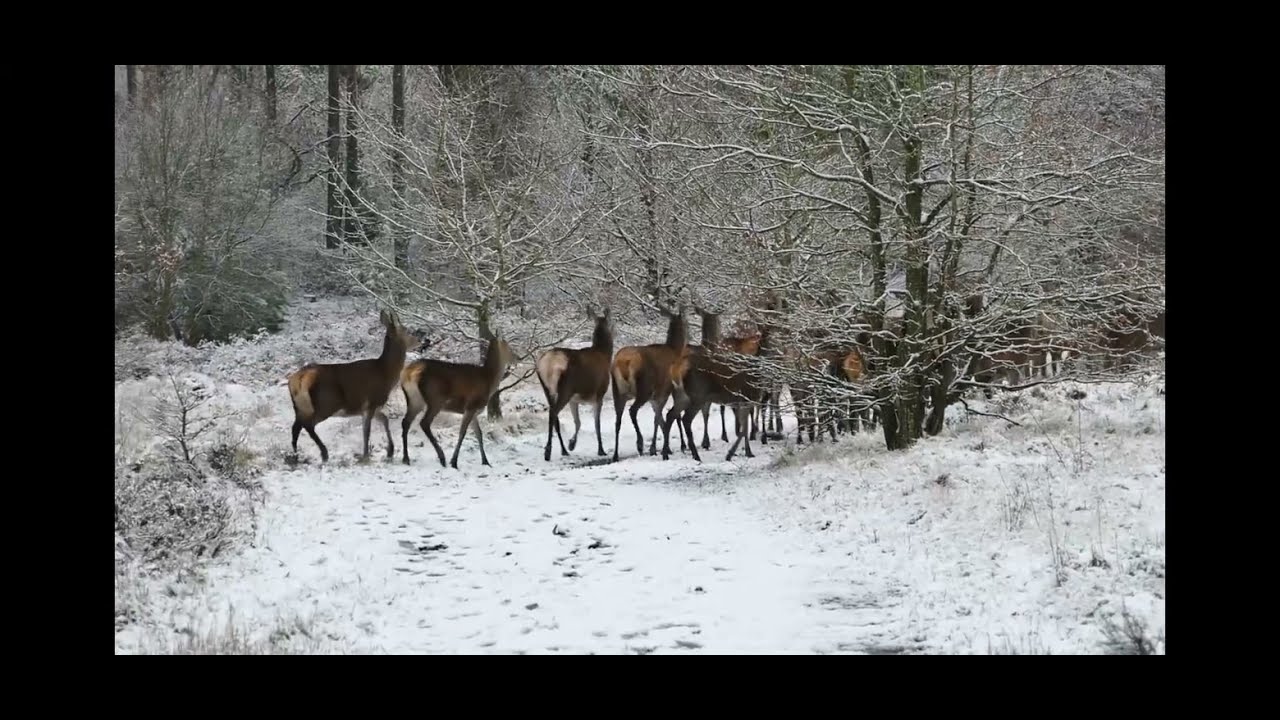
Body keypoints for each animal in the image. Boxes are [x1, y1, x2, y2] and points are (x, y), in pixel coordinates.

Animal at [286, 308, 421, 463]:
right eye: (406, 330)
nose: (420, 340)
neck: (385, 373)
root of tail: (298, 379)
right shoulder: (371, 402)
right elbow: (367, 431)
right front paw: (366, 455)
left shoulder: (370, 407)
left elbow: (384, 420)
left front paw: (390, 451)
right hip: (326, 403)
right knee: (308, 425)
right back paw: (324, 453)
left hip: (300, 407)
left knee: (295, 427)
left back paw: (295, 455)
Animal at [400, 334, 516, 469]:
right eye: (507, 346)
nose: (517, 357)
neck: (489, 380)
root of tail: (409, 372)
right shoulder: (471, 405)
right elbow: (462, 432)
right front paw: (454, 462)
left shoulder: (473, 411)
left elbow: (479, 433)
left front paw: (486, 461)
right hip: (435, 399)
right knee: (424, 423)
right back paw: (442, 457)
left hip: (415, 399)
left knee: (406, 422)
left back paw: (406, 458)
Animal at [535, 306, 615, 462]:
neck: (605, 355)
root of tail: (550, 363)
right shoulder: (599, 394)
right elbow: (596, 423)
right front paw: (601, 450)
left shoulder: (575, 399)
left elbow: (578, 422)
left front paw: (571, 443)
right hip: (565, 388)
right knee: (553, 413)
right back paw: (548, 451)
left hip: (547, 388)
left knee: (554, 417)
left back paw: (563, 450)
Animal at [610, 304, 688, 462]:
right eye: (685, 322)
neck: (674, 350)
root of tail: (624, 362)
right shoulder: (664, 391)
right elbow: (660, 418)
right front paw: (658, 448)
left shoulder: (655, 397)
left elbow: (659, 418)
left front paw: (664, 448)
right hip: (643, 388)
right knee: (632, 411)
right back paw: (639, 444)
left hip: (617, 390)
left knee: (617, 421)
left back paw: (615, 455)